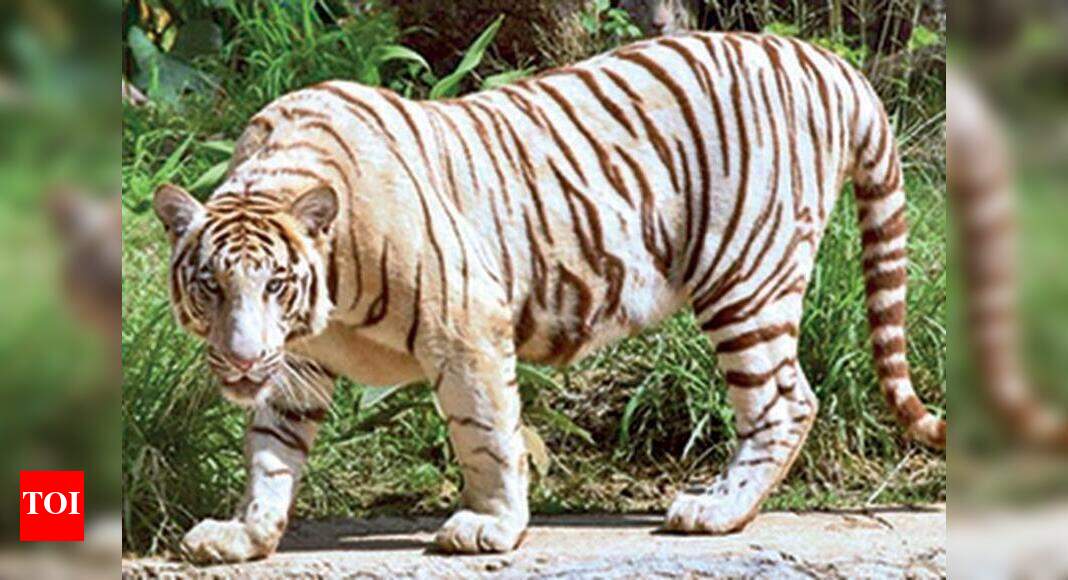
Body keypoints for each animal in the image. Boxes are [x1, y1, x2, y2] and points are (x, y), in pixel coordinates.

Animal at [153, 31, 945, 562]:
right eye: (211, 285)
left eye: (275, 284)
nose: (240, 361)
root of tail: (829, 62)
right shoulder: (299, 363)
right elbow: (270, 451)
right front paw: (245, 533)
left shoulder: (464, 325)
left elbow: (485, 434)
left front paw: (492, 527)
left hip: (746, 276)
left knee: (787, 402)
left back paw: (714, 513)